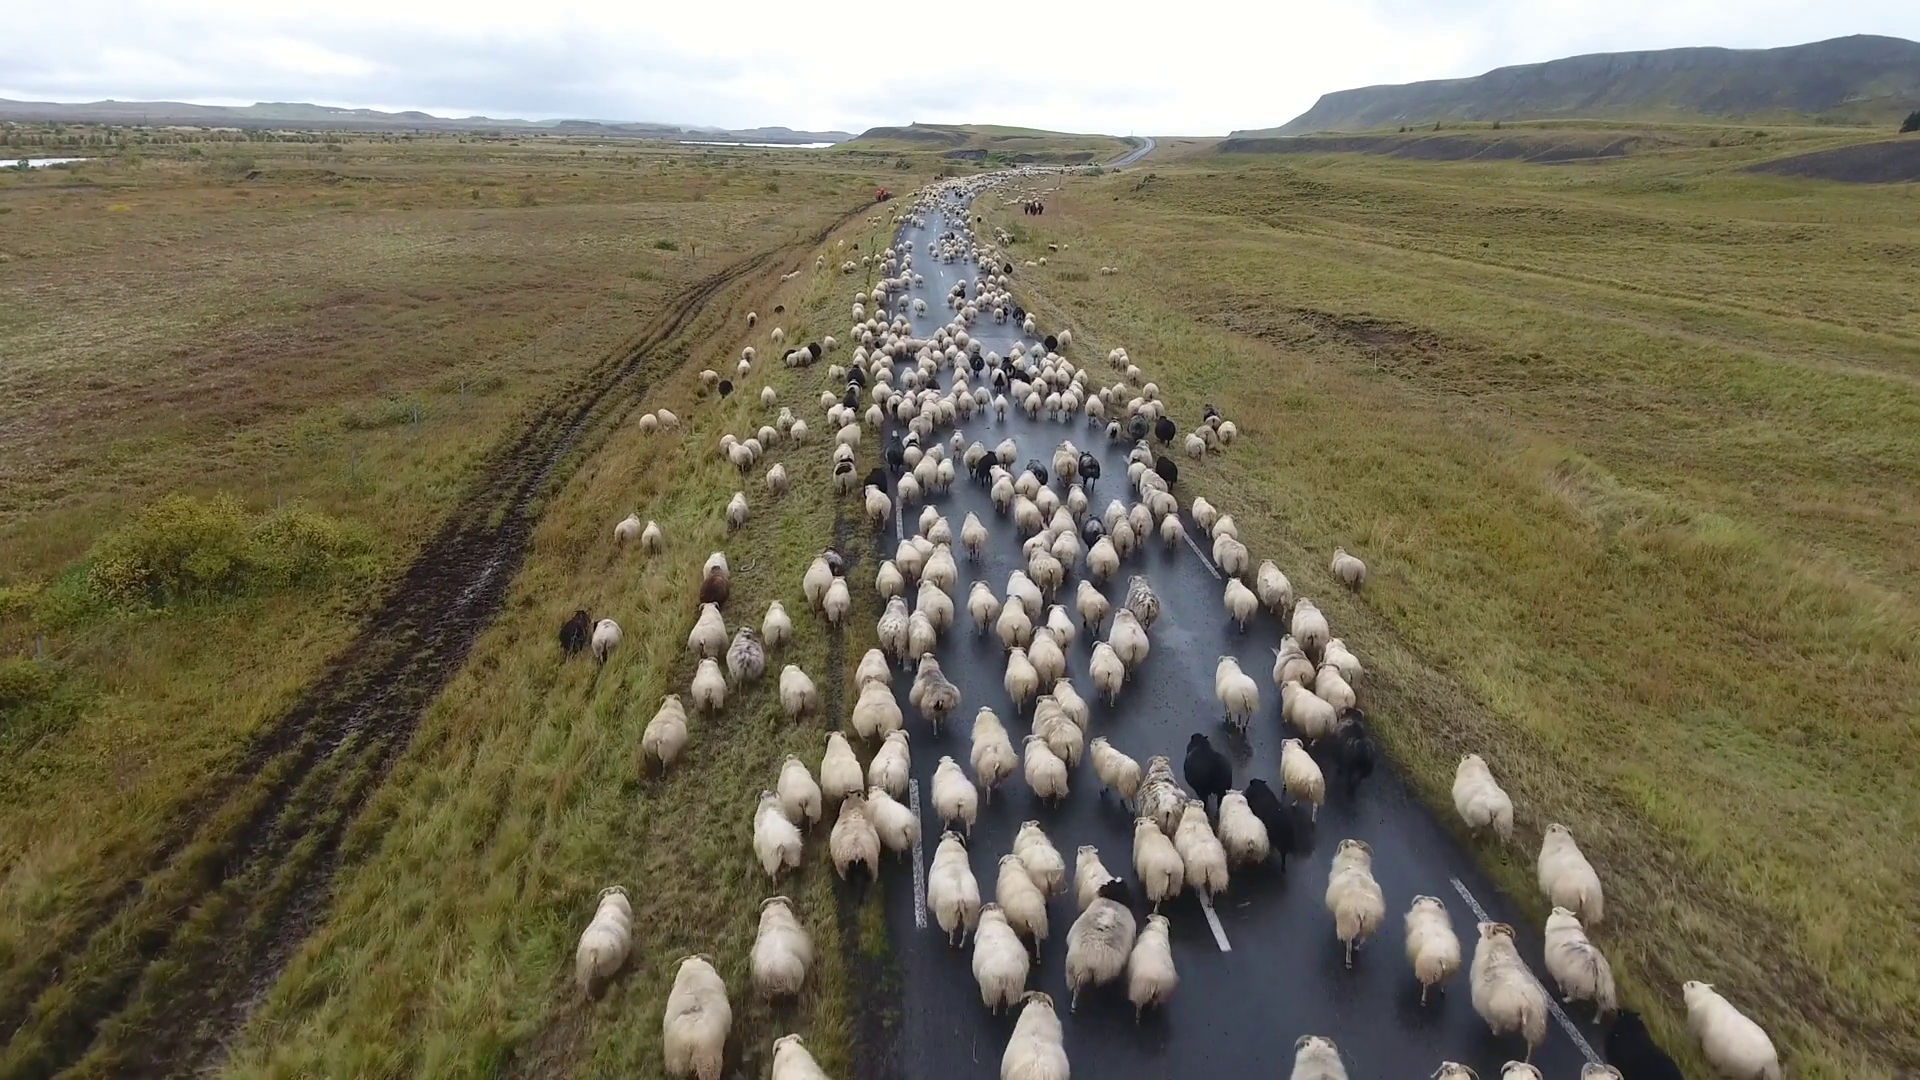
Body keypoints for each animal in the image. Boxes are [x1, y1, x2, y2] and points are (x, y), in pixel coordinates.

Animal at [1065, 879, 1137, 1010]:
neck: (1113, 898)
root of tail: (1087, 961)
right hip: (1105, 974)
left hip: (1074, 973)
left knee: (1076, 991)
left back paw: (1073, 1007)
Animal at [1471, 922, 1549, 1062]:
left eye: (1487, 927)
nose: (1479, 924)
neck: (1498, 945)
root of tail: (1525, 1005)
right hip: (1535, 1028)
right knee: (1531, 1048)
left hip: (1503, 1015)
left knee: (1498, 1027)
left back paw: (1493, 1030)